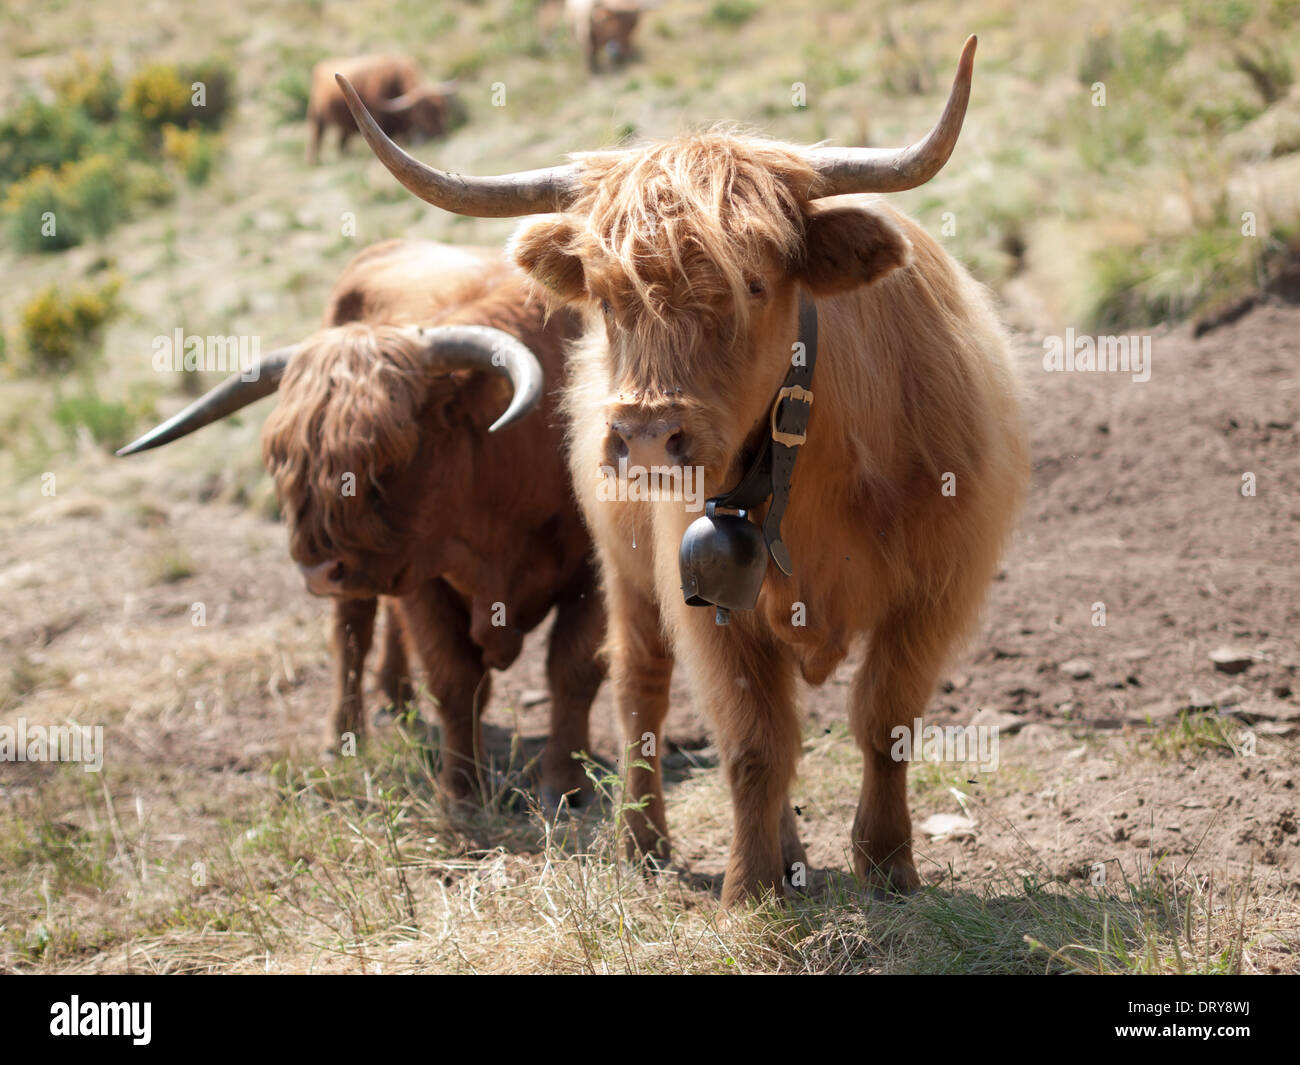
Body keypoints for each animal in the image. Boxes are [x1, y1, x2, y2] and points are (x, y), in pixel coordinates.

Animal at [118, 240, 605, 808]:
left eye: (387, 460)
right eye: (283, 462)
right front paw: (461, 788)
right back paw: (344, 734)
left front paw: (564, 783)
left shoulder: (598, 568)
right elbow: (453, 676)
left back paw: (396, 696)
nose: (318, 570)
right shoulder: (427, 569)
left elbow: (572, 669)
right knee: (352, 635)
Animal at [306, 55, 457, 164]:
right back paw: (313, 161)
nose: (441, 135)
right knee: (316, 138)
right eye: (422, 114)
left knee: (342, 142)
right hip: (316, 116)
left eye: (444, 110)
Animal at [336, 35, 1029, 905]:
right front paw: (750, 889)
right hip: (627, 574)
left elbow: (883, 720)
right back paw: (646, 841)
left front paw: (887, 865)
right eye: (605, 296)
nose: (642, 436)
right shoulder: (702, 598)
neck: (815, 474)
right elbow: (753, 741)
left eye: (756, 283)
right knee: (640, 686)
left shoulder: (934, 590)